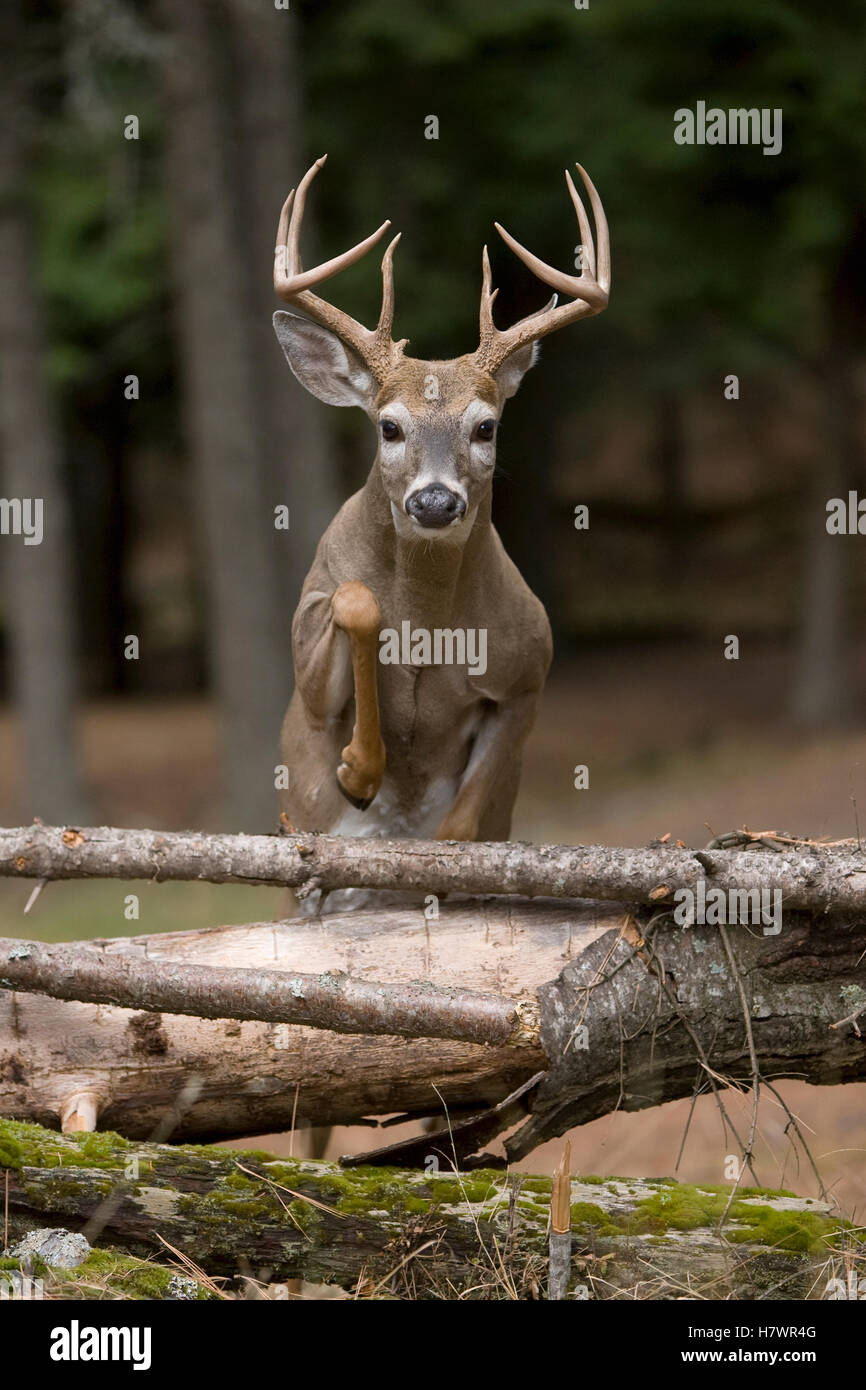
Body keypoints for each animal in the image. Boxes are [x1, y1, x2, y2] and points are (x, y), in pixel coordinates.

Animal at [272, 156, 610, 912]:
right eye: (388, 426)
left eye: (485, 425)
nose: (433, 501)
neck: (431, 625)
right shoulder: (308, 643)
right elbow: (357, 601)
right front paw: (358, 772)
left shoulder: (527, 675)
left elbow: (459, 831)